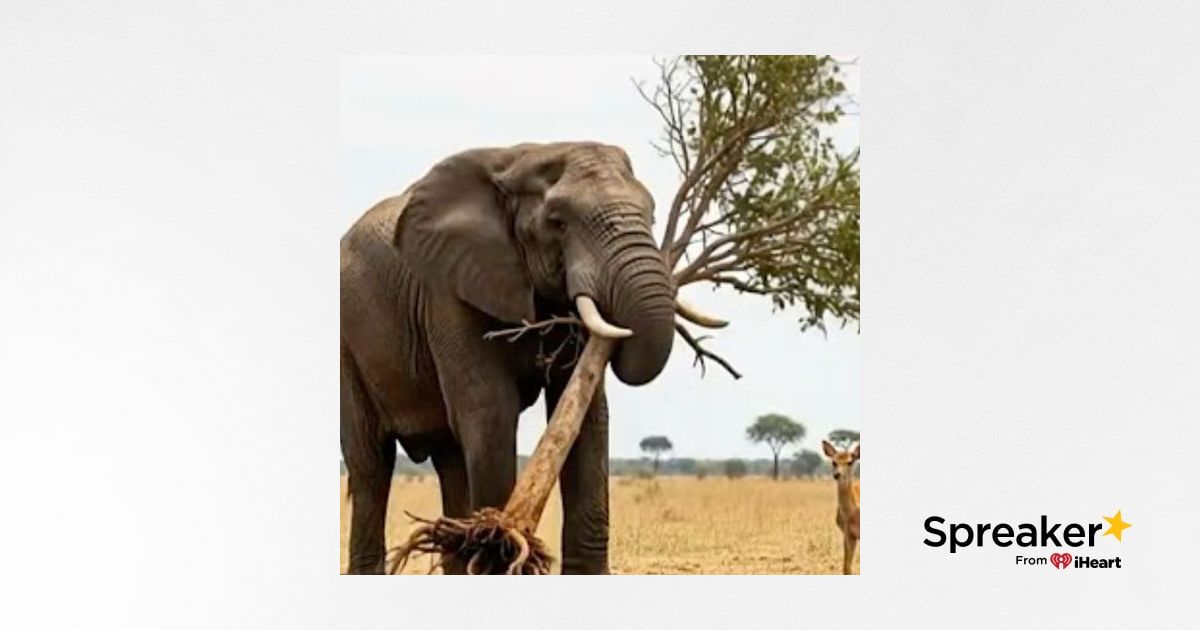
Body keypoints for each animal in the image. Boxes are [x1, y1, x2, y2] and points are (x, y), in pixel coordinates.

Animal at [340, 142, 723, 574]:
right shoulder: (449, 292)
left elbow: (585, 416)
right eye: (557, 222)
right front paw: (498, 551)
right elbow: (491, 410)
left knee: (450, 458)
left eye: (653, 215)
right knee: (371, 463)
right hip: (347, 346)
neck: (519, 155)